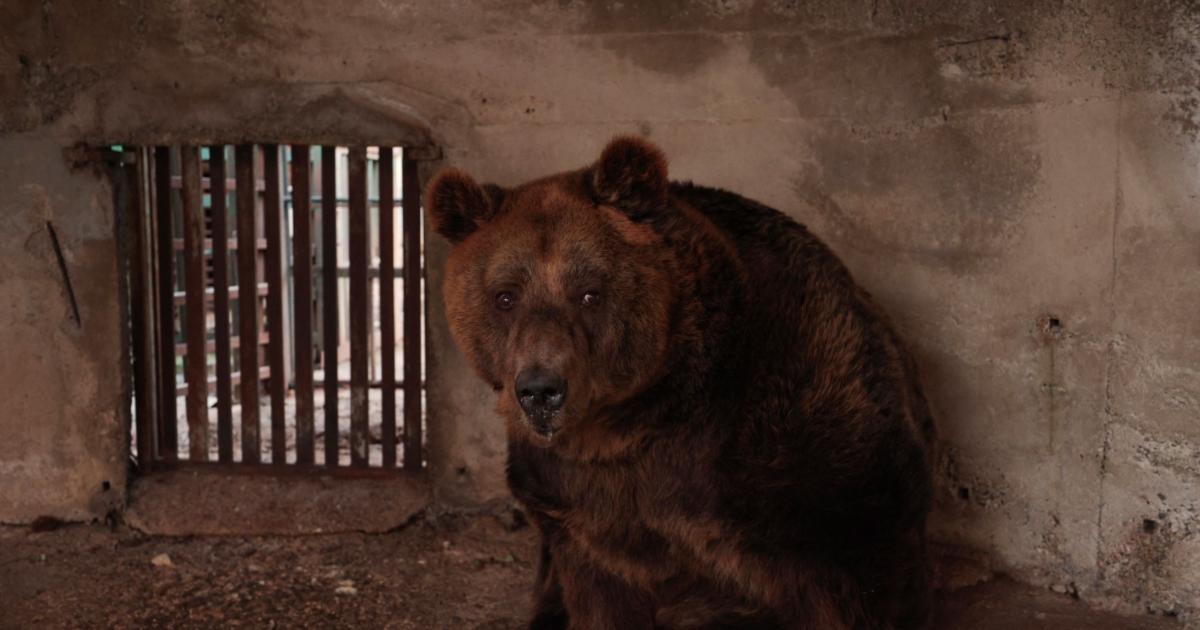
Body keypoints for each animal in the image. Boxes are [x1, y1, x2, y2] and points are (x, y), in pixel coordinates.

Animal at [425, 136, 936, 630]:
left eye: (589, 292)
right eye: (504, 296)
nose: (540, 390)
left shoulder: (804, 446)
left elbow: (850, 569)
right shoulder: (574, 505)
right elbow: (600, 594)